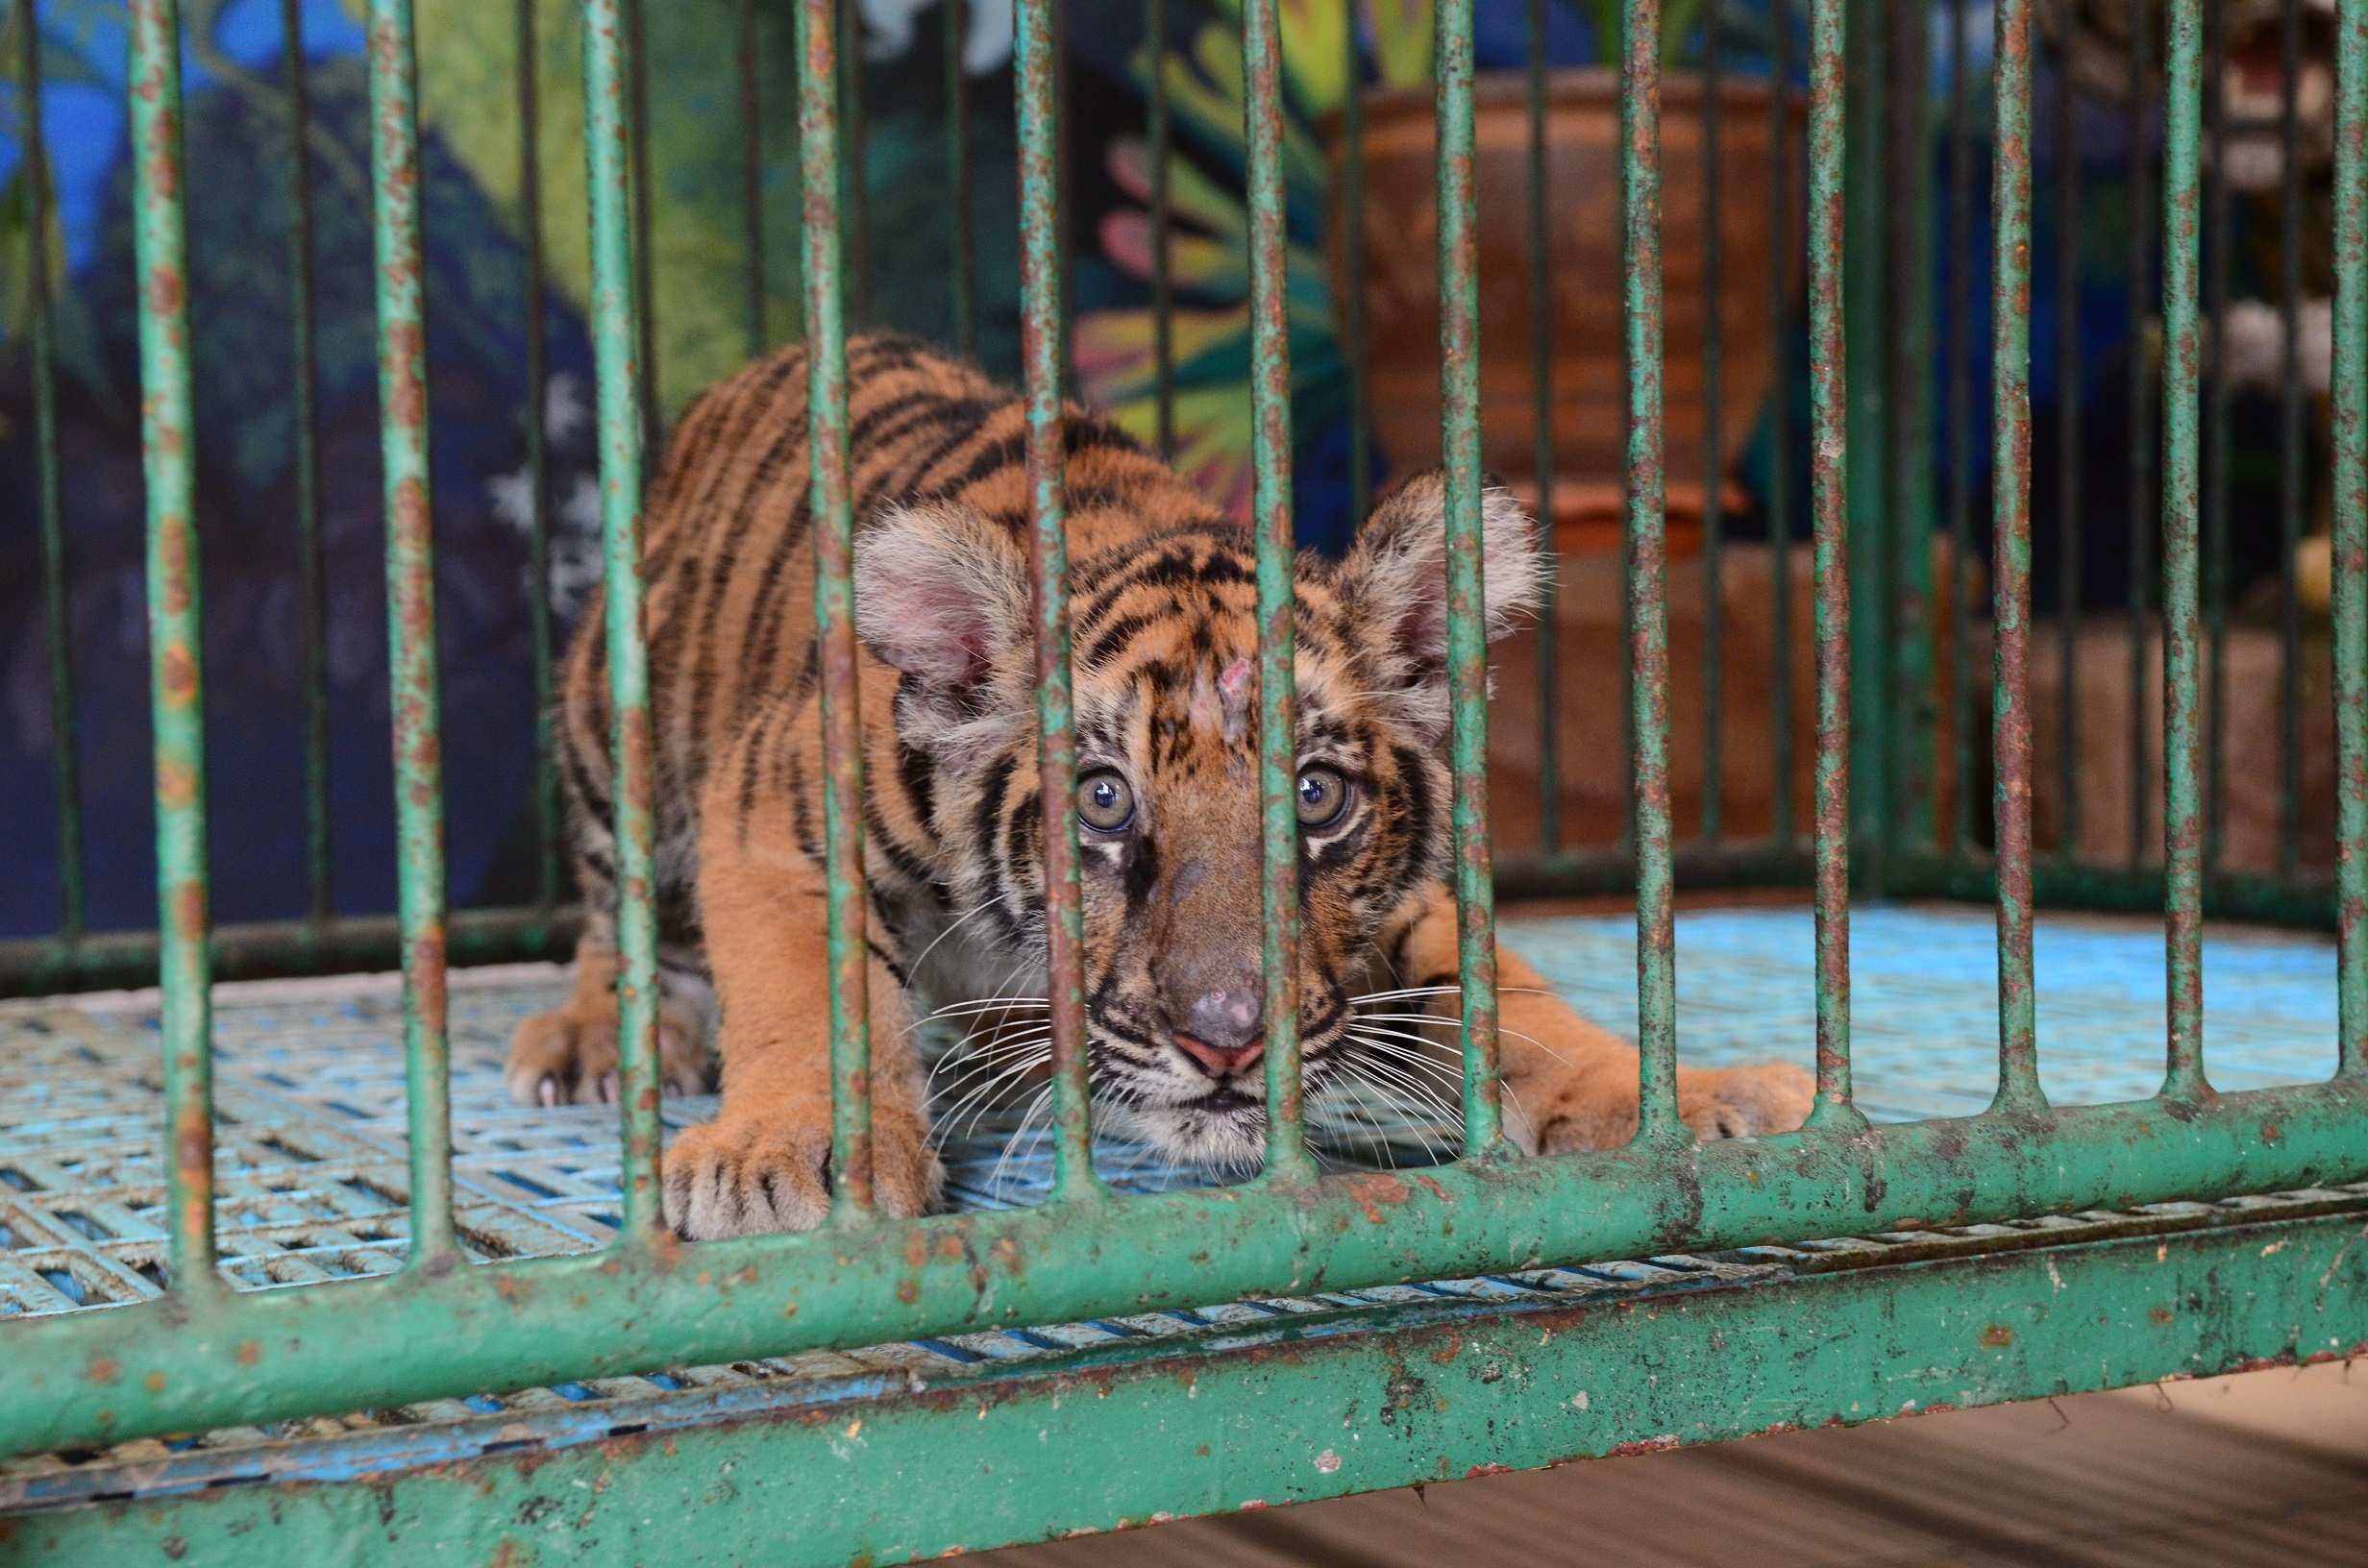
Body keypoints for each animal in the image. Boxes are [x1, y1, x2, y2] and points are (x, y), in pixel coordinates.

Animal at [505, 331, 1815, 1239]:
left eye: (1314, 797)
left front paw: (1686, 1099)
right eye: (1102, 800)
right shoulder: (778, 803)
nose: (1227, 1046)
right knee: (616, 912)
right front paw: (786, 1153)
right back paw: (592, 1037)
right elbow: (807, 990)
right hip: (608, 733)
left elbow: (1515, 999)